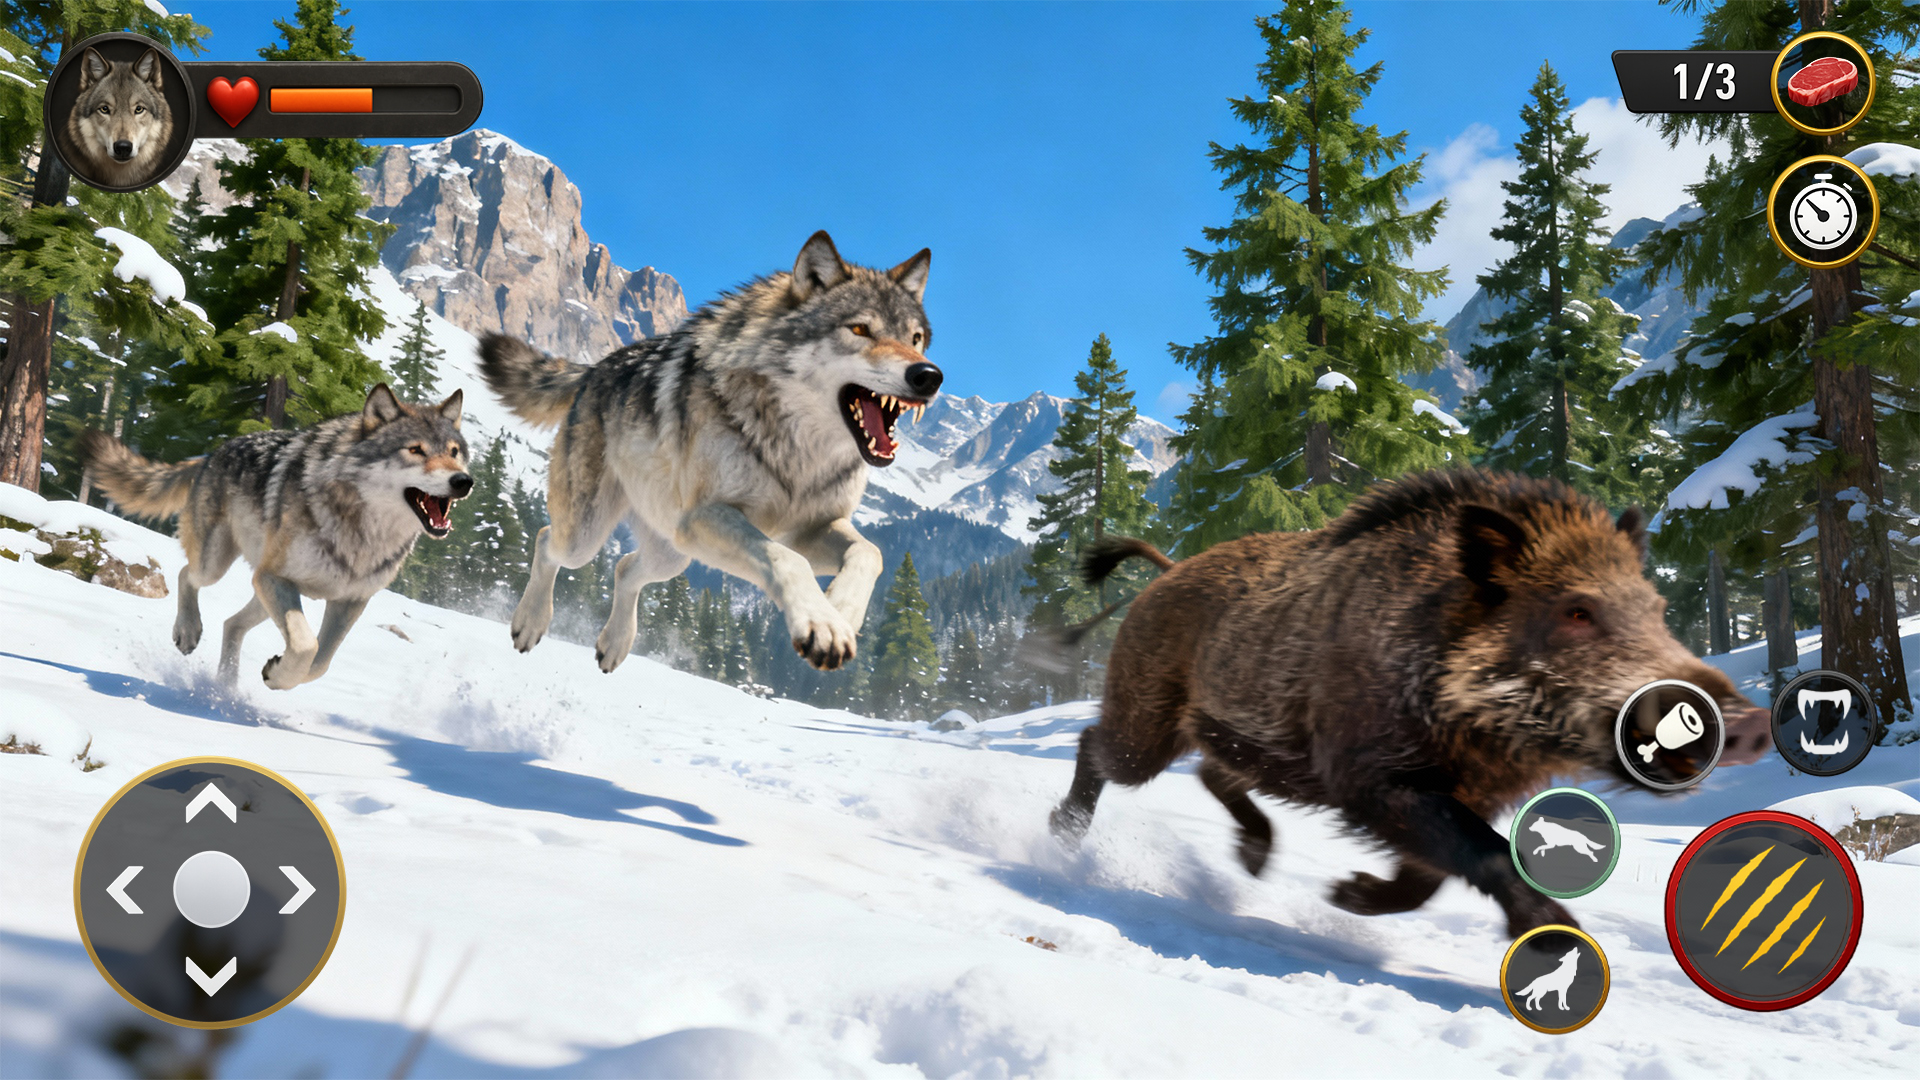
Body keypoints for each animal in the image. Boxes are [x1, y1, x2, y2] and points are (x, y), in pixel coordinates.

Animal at [80, 386, 472, 689]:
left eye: (454, 453)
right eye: (416, 450)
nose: (463, 481)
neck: (361, 530)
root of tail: (211, 453)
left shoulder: (350, 601)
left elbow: (320, 662)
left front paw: (275, 672)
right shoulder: (275, 578)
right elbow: (306, 648)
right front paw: (280, 673)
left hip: (266, 594)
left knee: (232, 623)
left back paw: (225, 690)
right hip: (224, 567)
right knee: (186, 575)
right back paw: (189, 632)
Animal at [479, 231, 940, 673]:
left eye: (916, 338)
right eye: (860, 330)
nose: (929, 376)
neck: (798, 449)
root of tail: (596, 367)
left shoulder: (813, 526)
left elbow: (870, 552)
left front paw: (841, 610)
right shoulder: (709, 517)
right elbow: (786, 559)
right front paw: (821, 622)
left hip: (672, 553)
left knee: (625, 568)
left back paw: (614, 645)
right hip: (590, 537)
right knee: (546, 540)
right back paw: (530, 621)